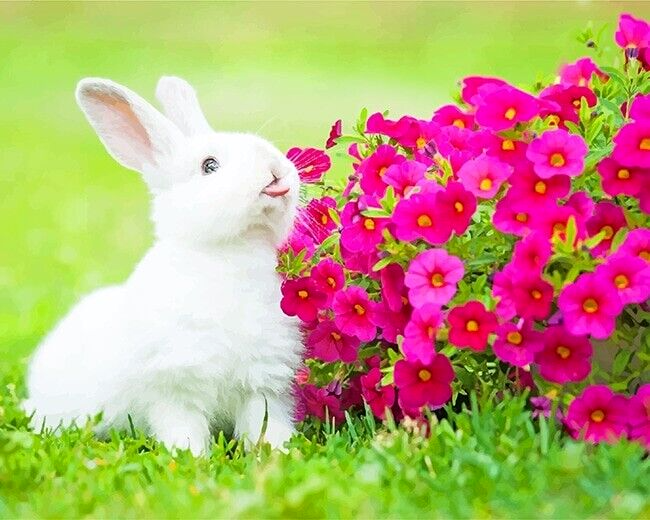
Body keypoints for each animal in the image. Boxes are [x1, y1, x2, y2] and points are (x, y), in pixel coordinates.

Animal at [22, 76, 303, 456]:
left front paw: (281, 454)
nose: (276, 170)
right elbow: (183, 429)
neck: (230, 252)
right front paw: (193, 459)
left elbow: (266, 426)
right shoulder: (173, 388)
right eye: (209, 166)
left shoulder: (263, 385)